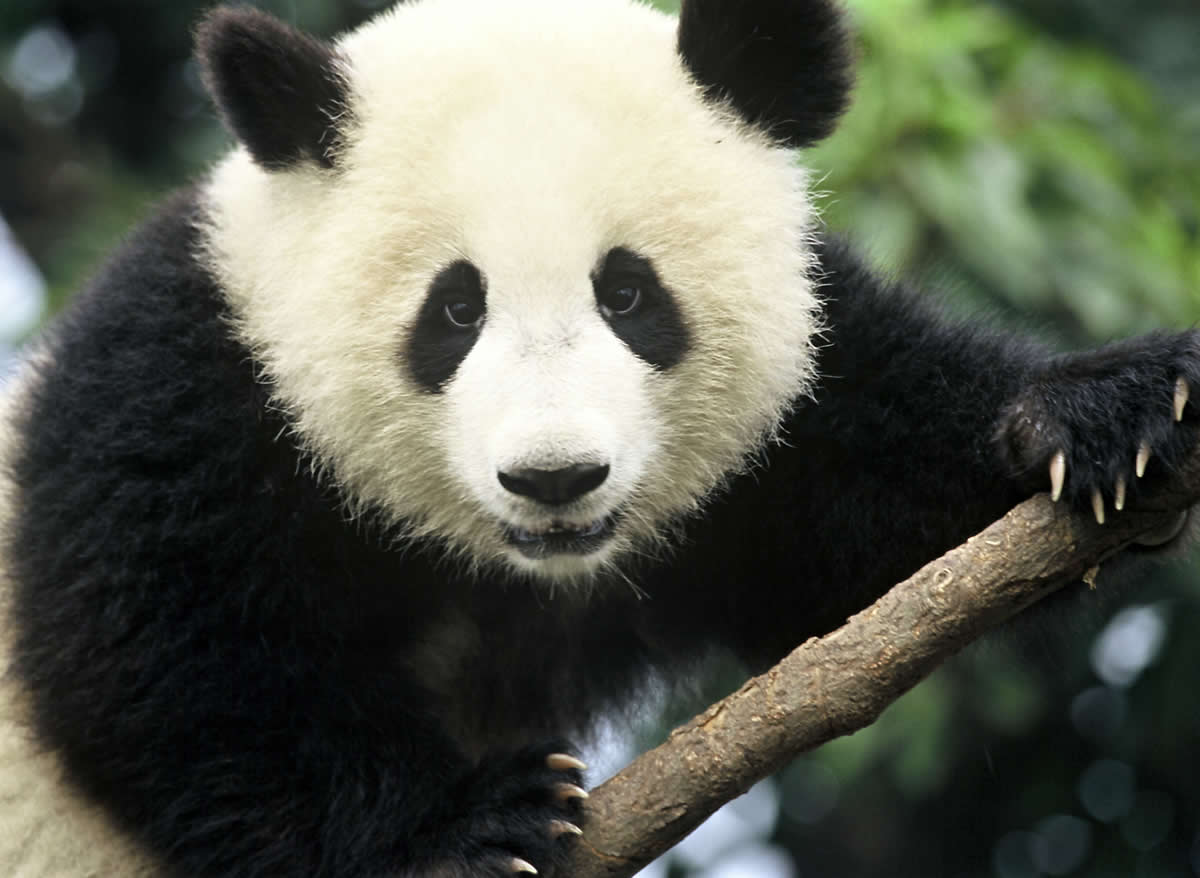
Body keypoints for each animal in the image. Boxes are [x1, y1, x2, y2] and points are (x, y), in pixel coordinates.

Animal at [0, 0, 1196, 875]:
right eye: (454, 310)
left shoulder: (796, 413)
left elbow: (870, 521)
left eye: (629, 293)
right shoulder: (182, 387)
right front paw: (463, 826)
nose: (554, 477)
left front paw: (1112, 414)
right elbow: (167, 664)